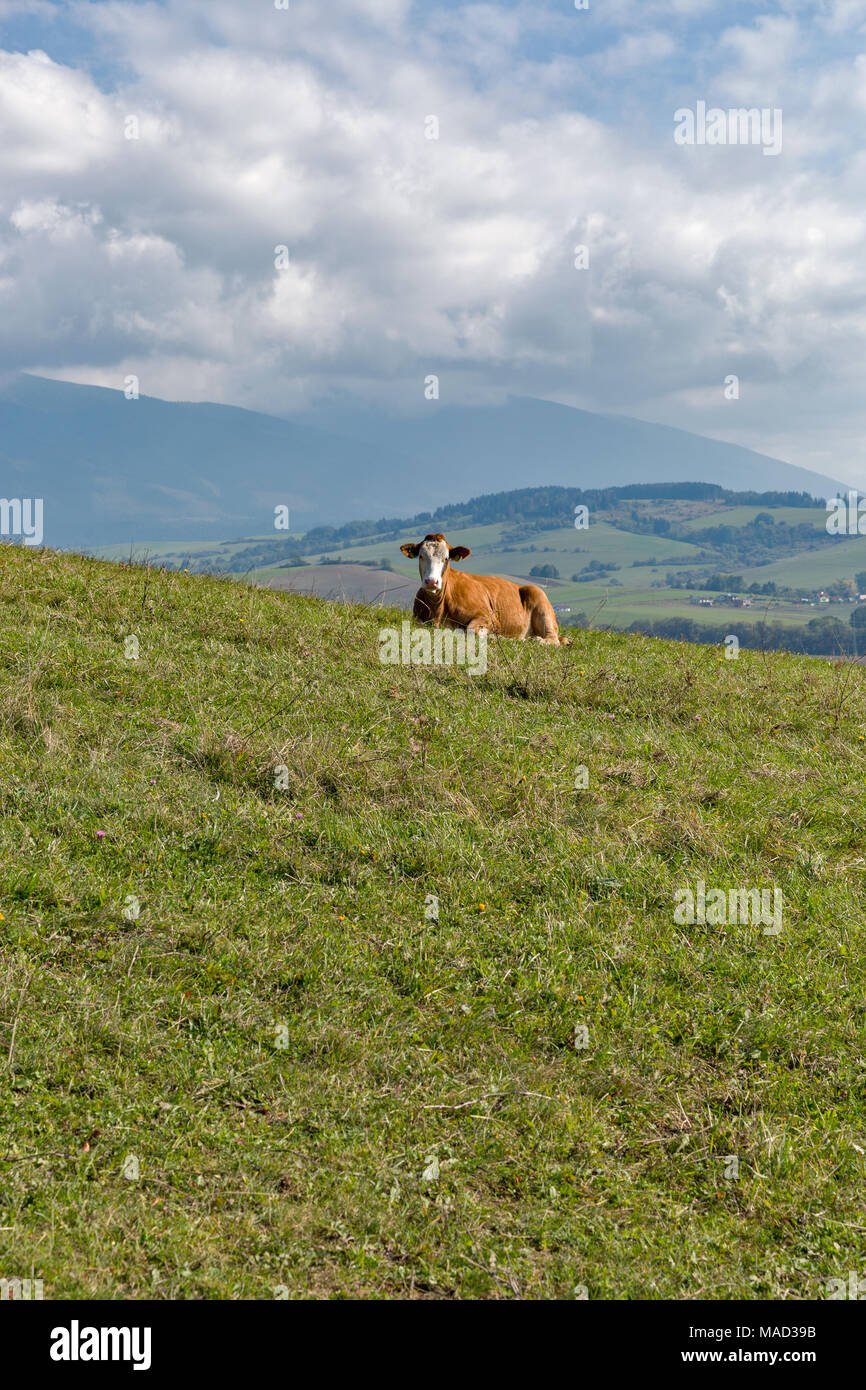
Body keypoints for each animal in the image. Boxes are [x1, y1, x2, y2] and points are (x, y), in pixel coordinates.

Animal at [400, 533, 570, 644]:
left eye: (446, 558)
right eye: (421, 556)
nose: (431, 582)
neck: (438, 610)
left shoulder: (488, 616)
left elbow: (471, 630)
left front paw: (495, 637)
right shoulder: (416, 617)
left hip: (540, 600)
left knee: (552, 640)